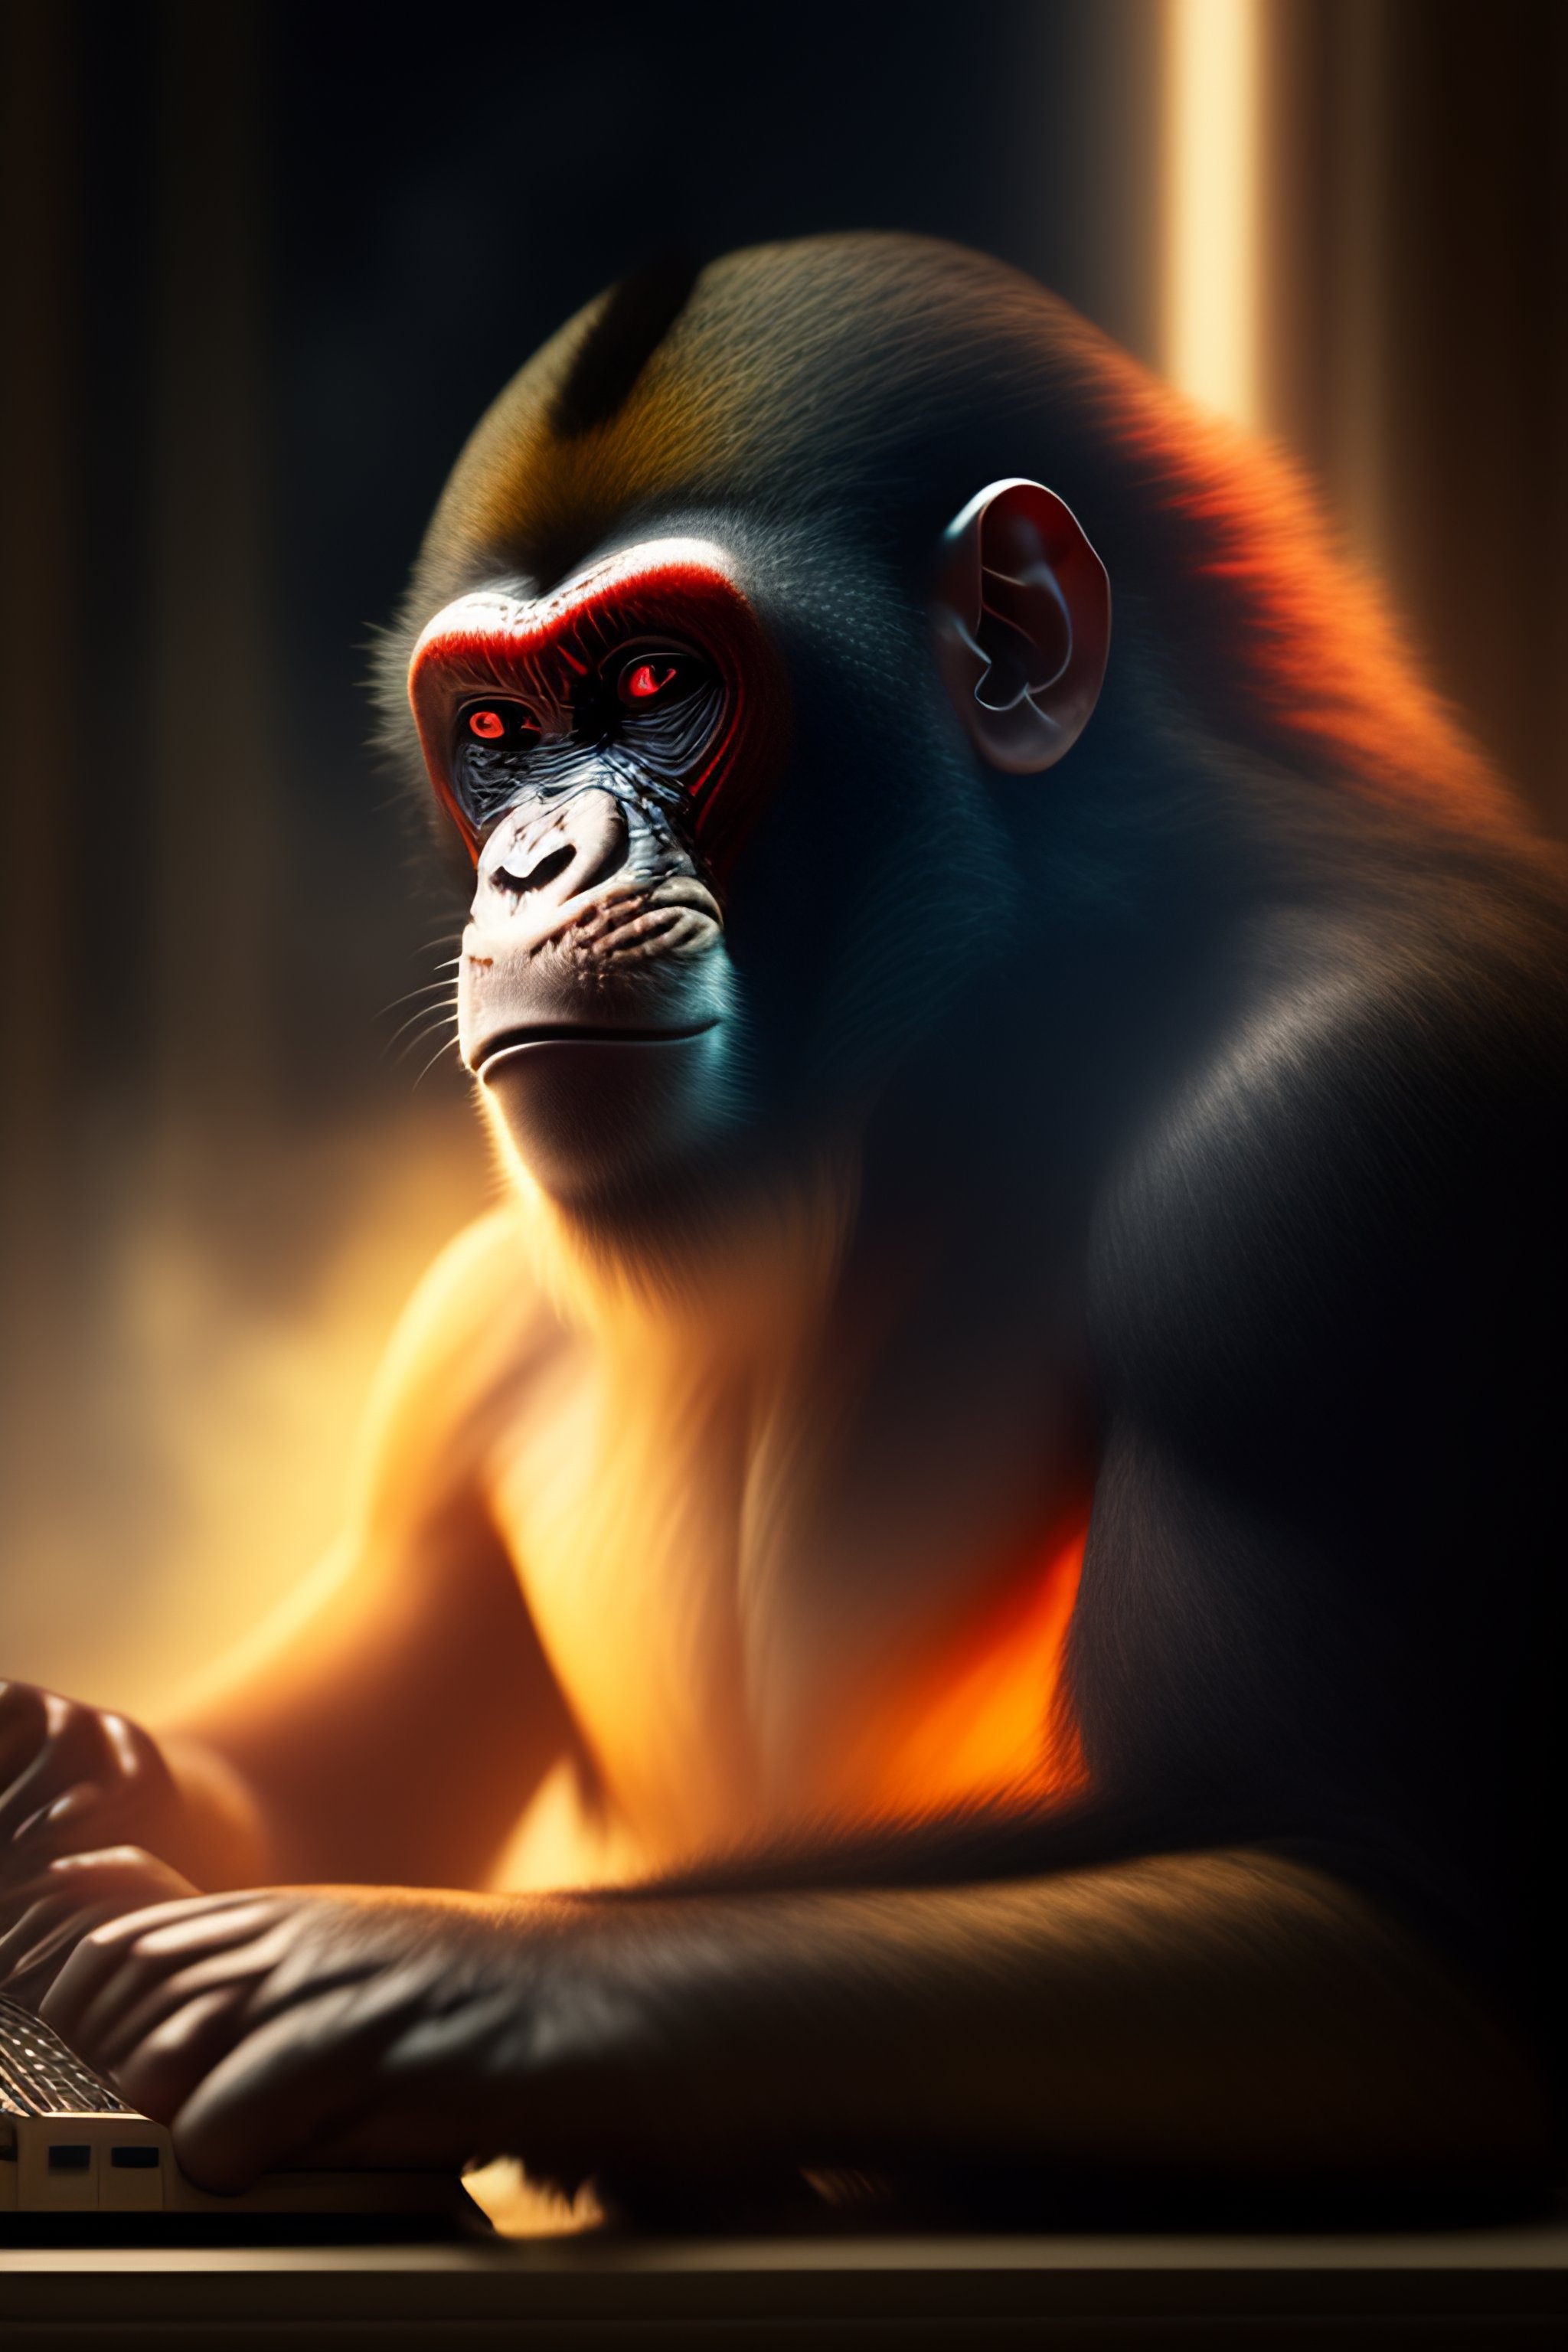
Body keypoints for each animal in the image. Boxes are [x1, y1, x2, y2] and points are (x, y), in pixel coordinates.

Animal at [0, 234, 1563, 2217]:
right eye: (496, 730)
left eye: (656, 678)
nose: (529, 865)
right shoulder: (464, 1333)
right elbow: (329, 1768)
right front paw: (72, 1768)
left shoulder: (1328, 1151)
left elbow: (1354, 1906)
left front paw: (437, 1976)